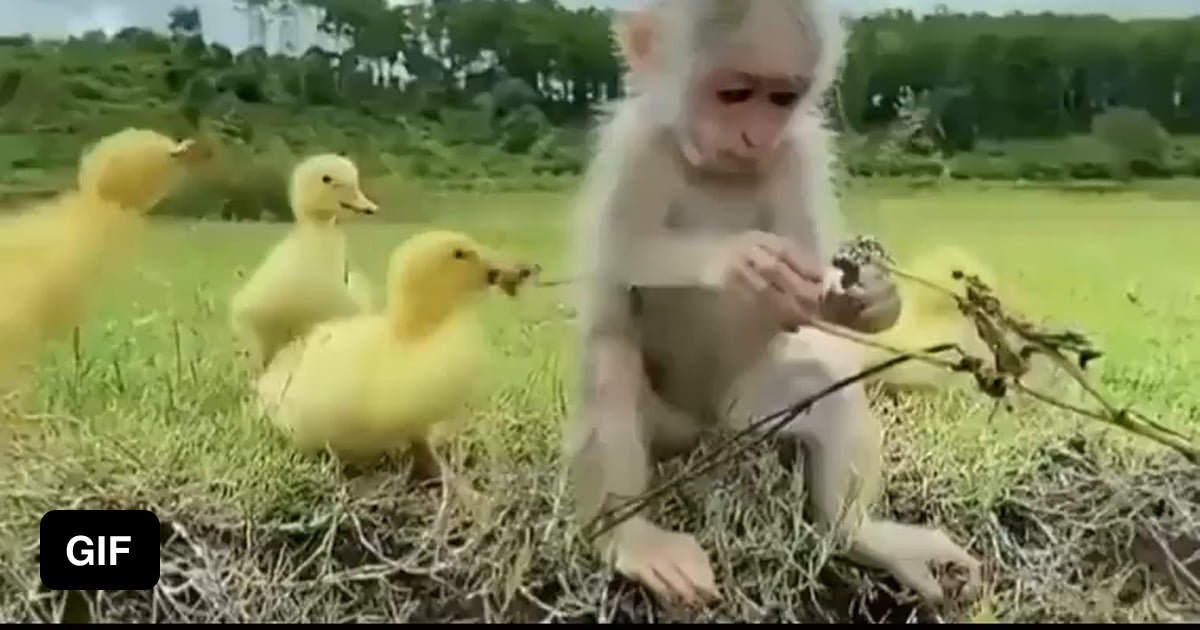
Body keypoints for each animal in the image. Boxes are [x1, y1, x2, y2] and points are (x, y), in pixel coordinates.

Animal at [565, 0, 983, 609]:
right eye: (734, 94)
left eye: (781, 99)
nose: (753, 135)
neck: (713, 166)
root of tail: (704, 432)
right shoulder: (638, 144)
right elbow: (618, 255)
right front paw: (736, 260)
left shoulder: (795, 152)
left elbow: (811, 291)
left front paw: (873, 297)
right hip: (669, 426)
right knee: (610, 360)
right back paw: (632, 537)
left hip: (748, 414)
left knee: (824, 381)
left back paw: (859, 533)